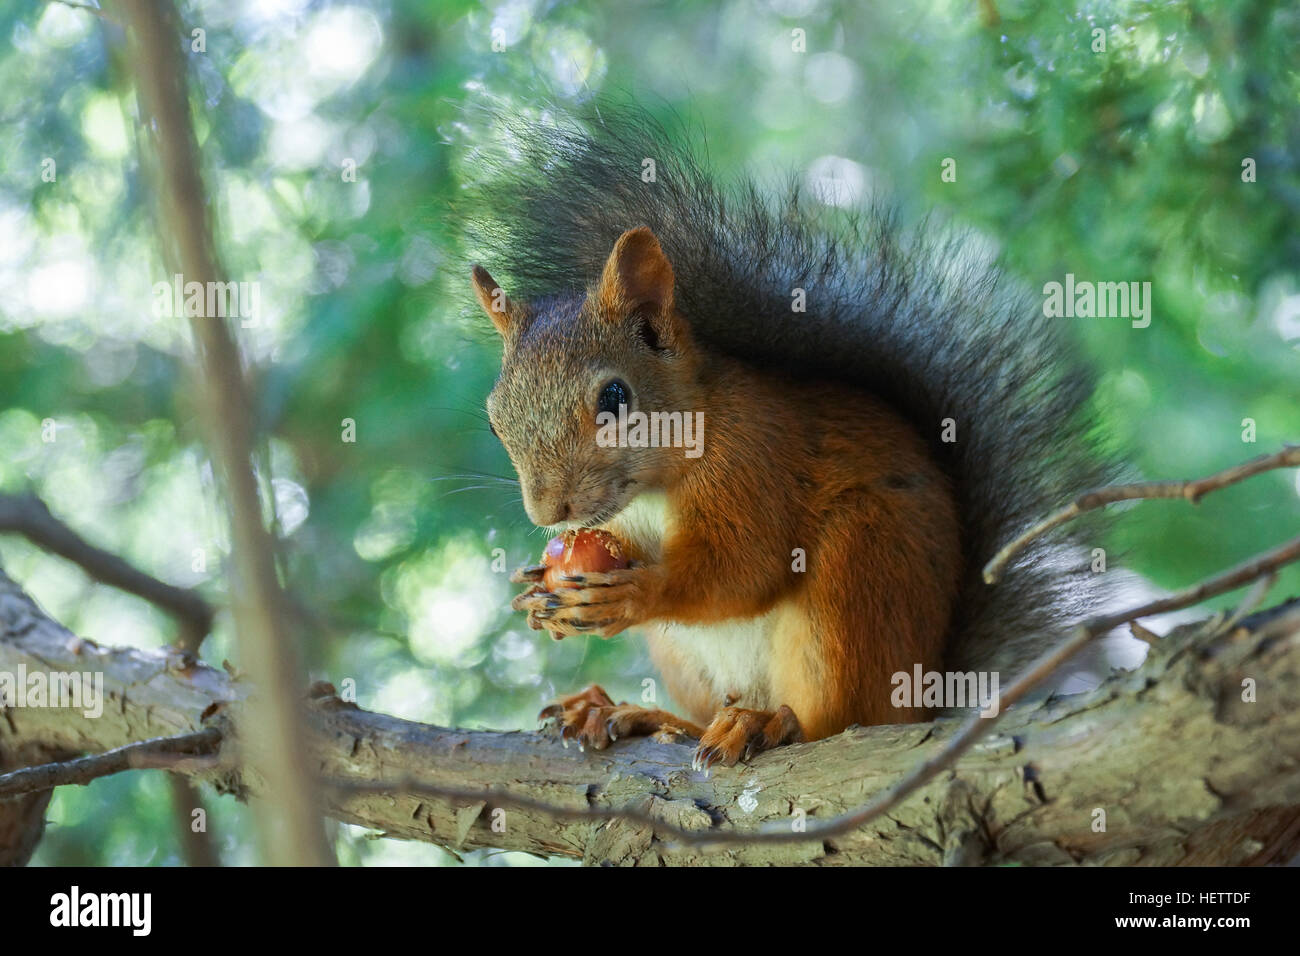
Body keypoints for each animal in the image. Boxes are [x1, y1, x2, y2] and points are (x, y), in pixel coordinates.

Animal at [464, 105, 1113, 770]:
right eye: (493, 418)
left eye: (616, 398)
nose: (549, 511)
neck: (654, 485)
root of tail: (925, 696)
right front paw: (534, 590)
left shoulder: (756, 462)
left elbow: (745, 566)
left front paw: (636, 593)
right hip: (690, 660)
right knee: (705, 714)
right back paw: (638, 714)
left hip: (857, 573)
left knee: (838, 718)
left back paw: (770, 724)